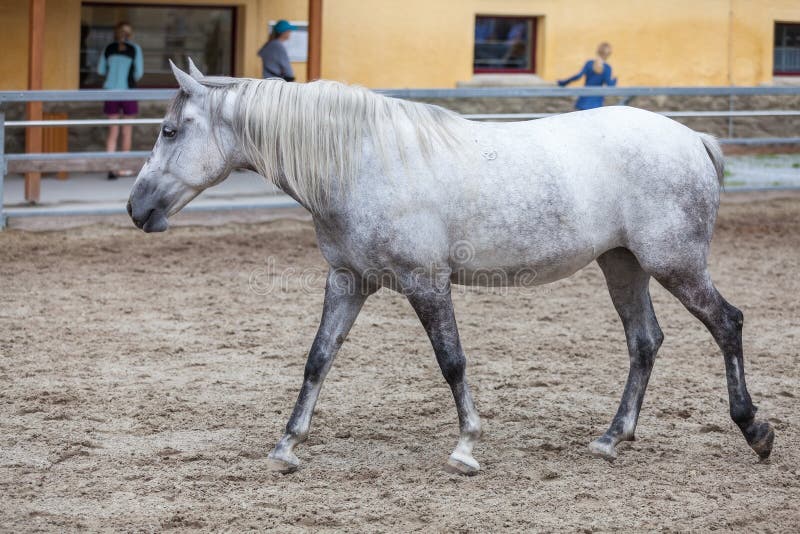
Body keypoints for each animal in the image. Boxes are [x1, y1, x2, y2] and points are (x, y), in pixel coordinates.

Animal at [127, 60, 774, 474]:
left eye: (169, 130)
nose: (136, 208)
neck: (362, 162)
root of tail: (692, 138)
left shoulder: (426, 285)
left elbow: (452, 362)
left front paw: (466, 447)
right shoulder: (348, 283)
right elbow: (318, 359)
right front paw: (287, 446)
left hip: (675, 265)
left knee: (727, 323)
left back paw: (754, 431)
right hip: (623, 266)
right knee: (645, 341)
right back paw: (612, 439)